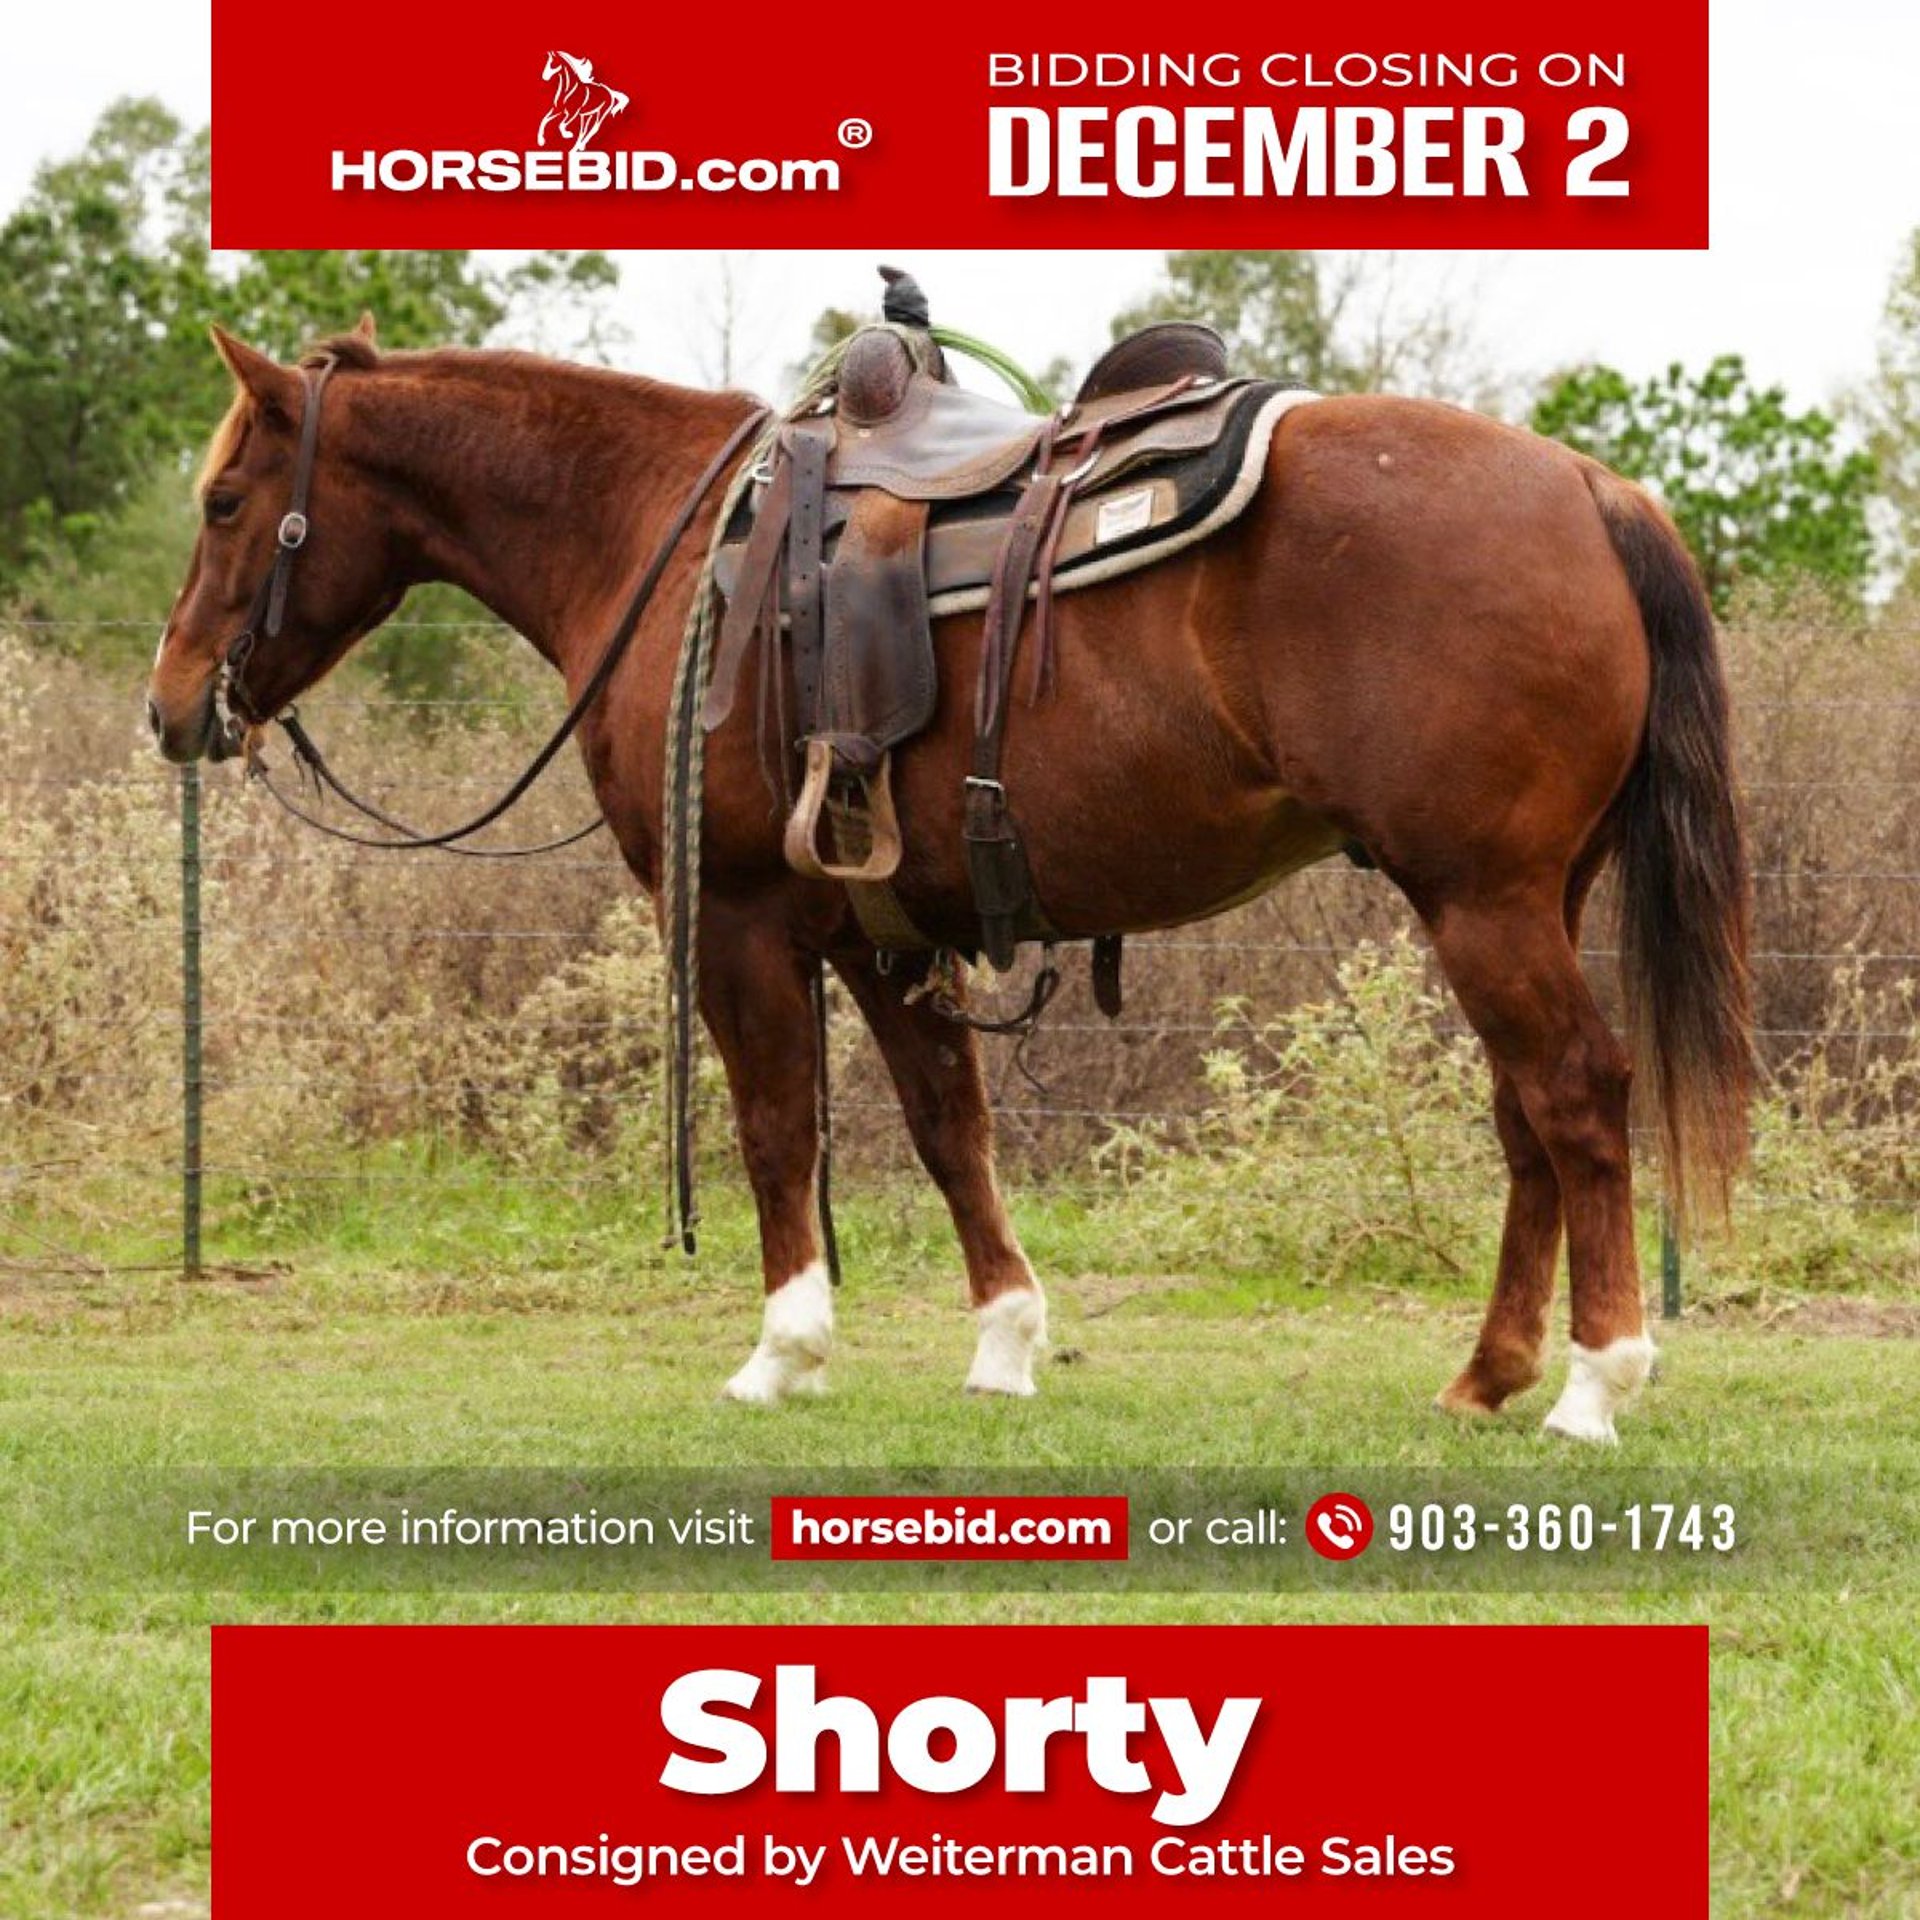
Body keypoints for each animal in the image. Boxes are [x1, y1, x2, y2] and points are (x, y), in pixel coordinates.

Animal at [147, 313, 1751, 1445]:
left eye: (226, 501)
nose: (171, 708)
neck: (670, 541)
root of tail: (1593, 488)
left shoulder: (739, 921)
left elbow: (776, 1128)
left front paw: (783, 1351)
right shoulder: (882, 932)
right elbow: (947, 1129)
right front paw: (1005, 1344)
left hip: (1483, 902)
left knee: (1576, 1097)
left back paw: (1596, 1384)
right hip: (1522, 900)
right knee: (1527, 1120)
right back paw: (1486, 1375)